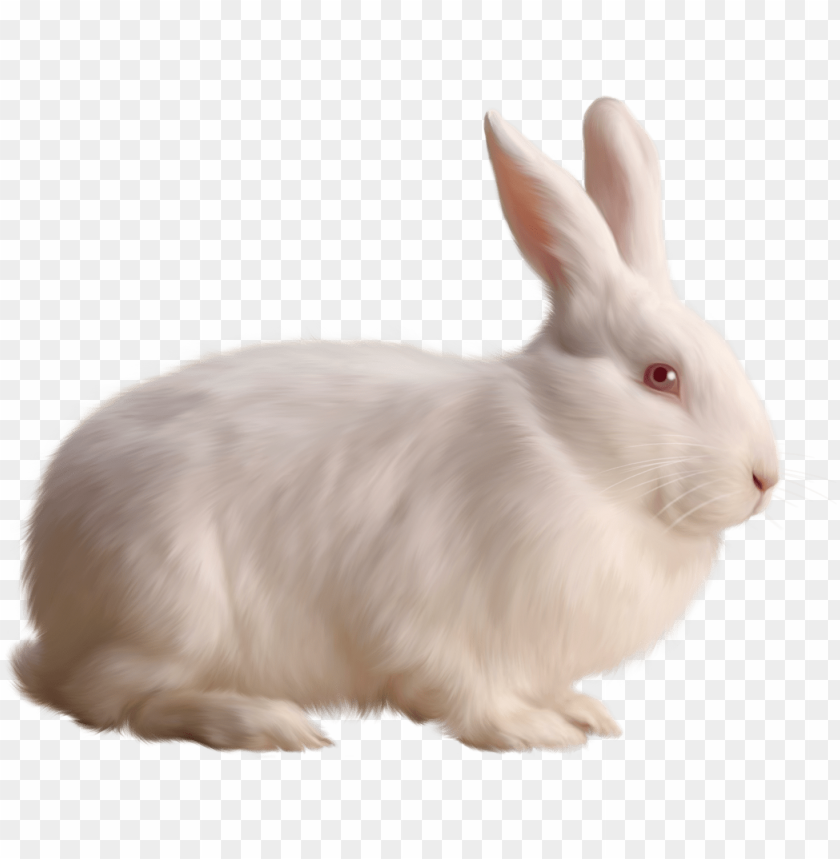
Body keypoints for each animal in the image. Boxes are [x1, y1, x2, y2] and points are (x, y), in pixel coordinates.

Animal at [13, 98, 778, 754]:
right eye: (661, 376)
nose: (765, 477)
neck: (569, 449)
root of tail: (52, 598)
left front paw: (579, 709)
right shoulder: (429, 614)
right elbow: (463, 690)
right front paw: (531, 729)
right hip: (173, 607)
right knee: (117, 700)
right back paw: (263, 720)